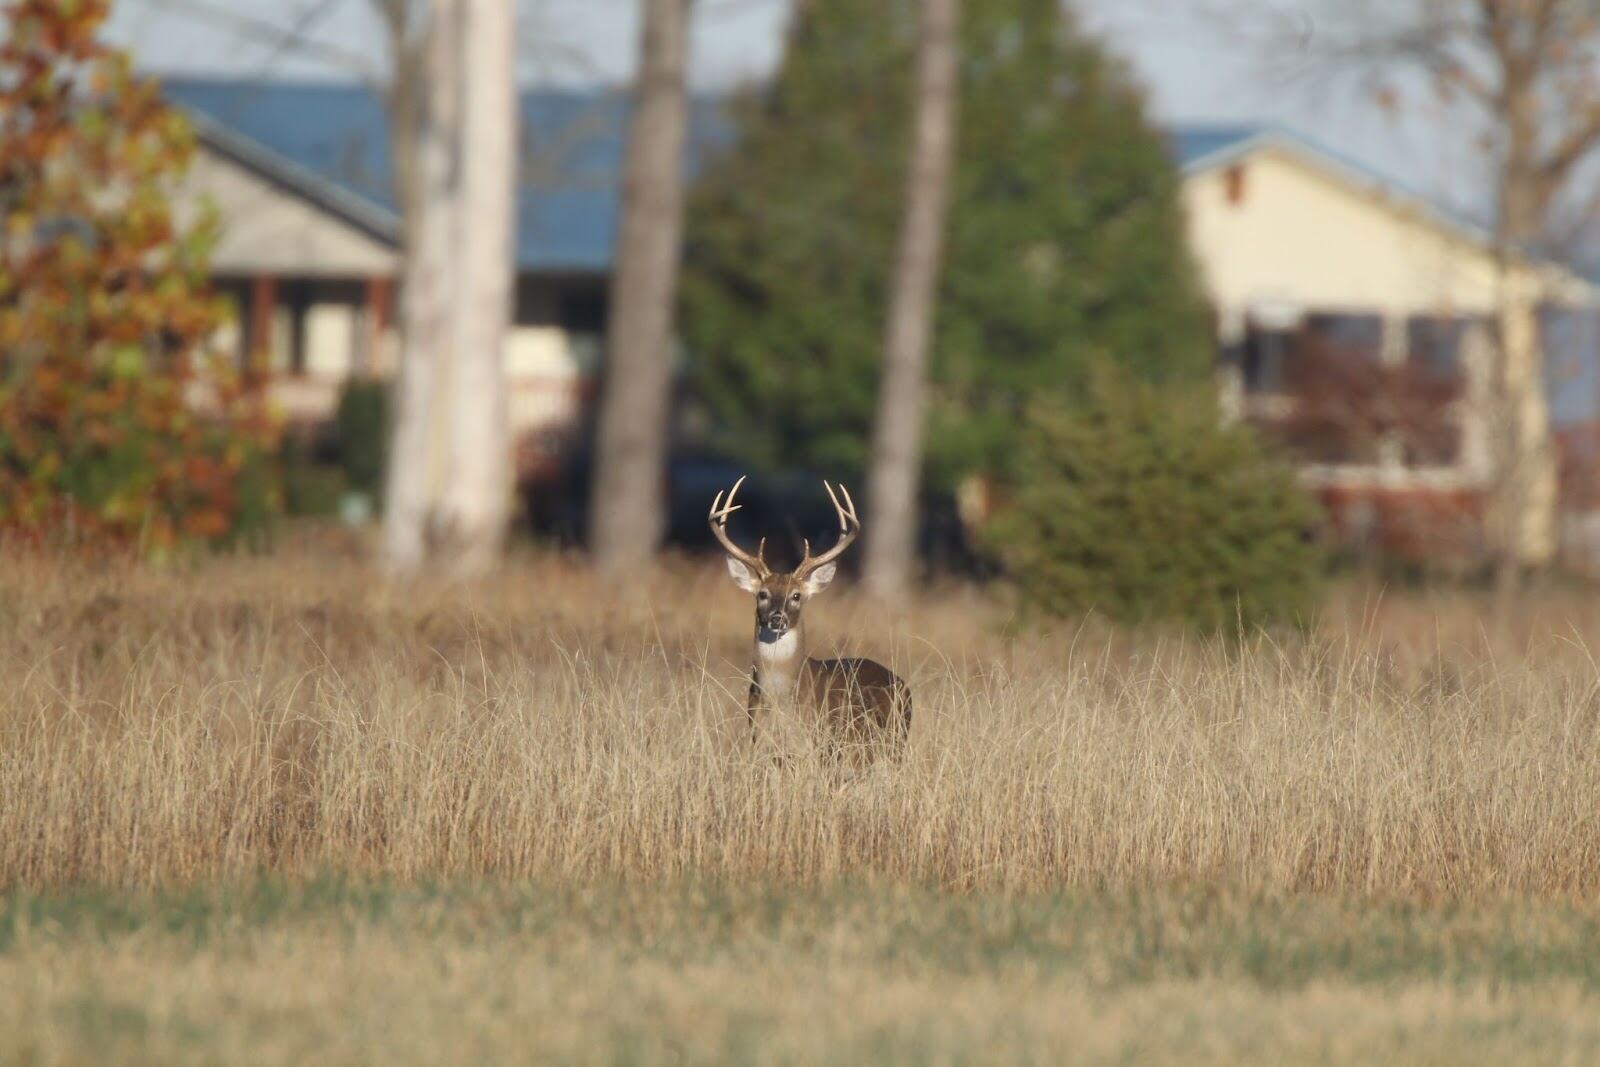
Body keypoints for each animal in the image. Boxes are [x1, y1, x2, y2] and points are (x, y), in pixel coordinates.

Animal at [709, 476, 911, 765]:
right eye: (762, 594)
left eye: (796, 595)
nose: (777, 618)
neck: (781, 703)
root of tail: (904, 686)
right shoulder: (759, 740)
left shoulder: (816, 743)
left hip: (892, 740)